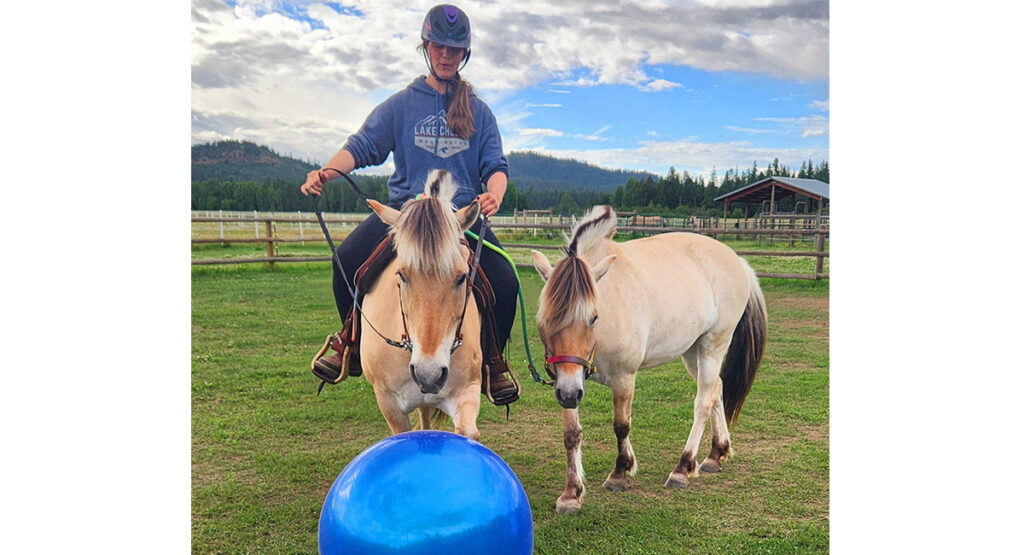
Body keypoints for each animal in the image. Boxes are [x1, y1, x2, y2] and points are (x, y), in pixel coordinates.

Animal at [359, 169, 484, 440]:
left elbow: (467, 433)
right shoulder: (389, 403)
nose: (429, 374)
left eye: (462, 277)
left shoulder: (468, 390)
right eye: (401, 275)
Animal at [531, 205, 767, 513]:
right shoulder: (569, 379)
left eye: (594, 318)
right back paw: (716, 454)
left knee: (703, 402)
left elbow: (621, 425)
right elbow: (571, 433)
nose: (569, 394)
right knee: (717, 389)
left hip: (713, 345)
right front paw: (571, 493)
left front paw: (619, 473)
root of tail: (737, 260)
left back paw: (683, 467)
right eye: (545, 321)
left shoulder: (623, 377)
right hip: (692, 352)